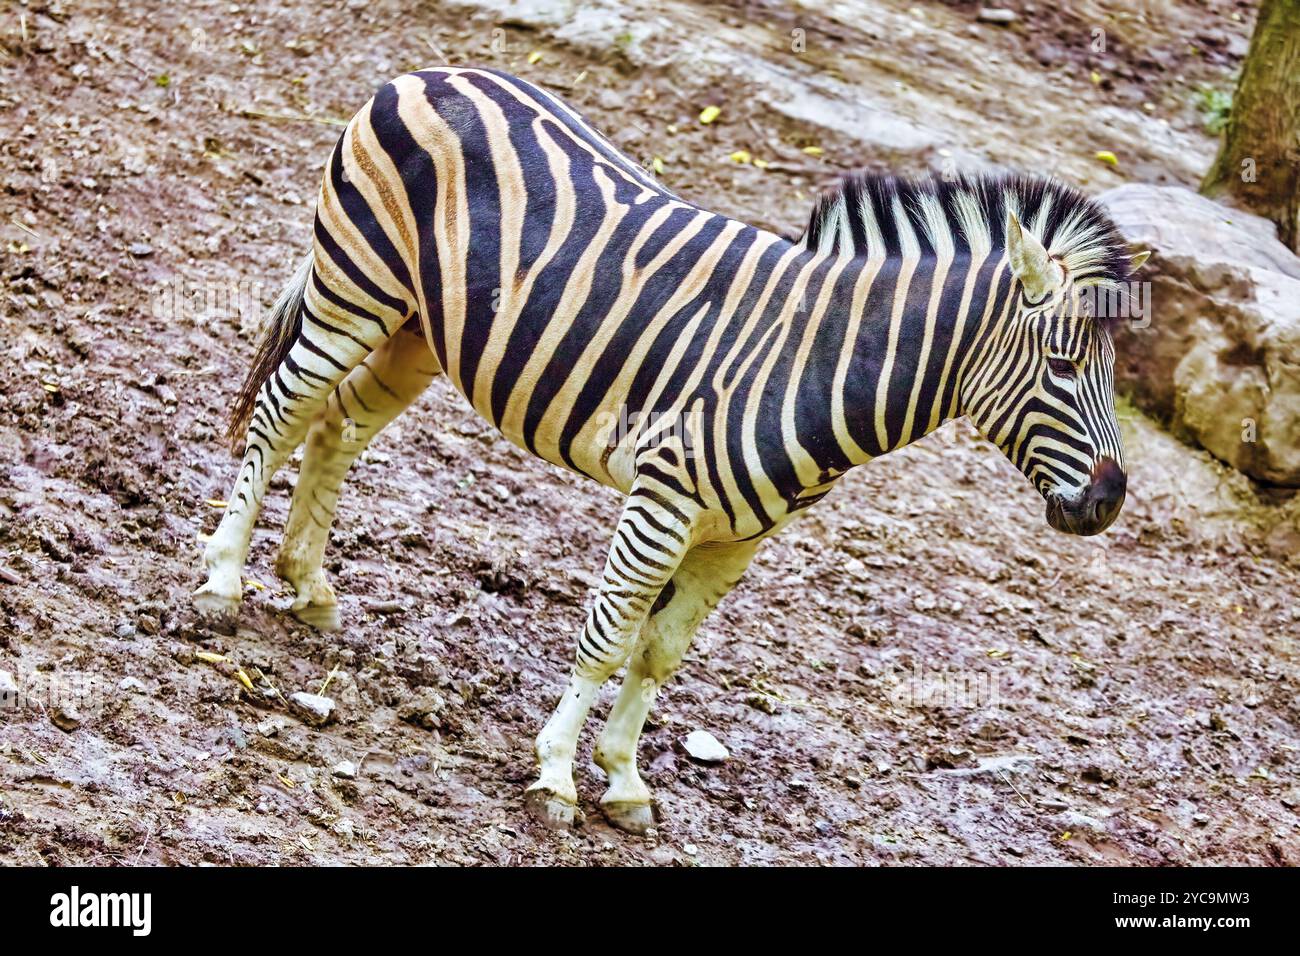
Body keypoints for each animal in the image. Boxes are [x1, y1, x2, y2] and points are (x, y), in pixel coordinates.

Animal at [193, 67, 1149, 833]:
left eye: (1108, 374)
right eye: (1065, 367)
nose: (1106, 503)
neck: (820, 364)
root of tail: (428, 72)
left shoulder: (739, 537)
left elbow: (660, 652)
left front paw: (622, 781)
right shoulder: (664, 499)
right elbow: (608, 636)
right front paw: (554, 776)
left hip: (420, 331)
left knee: (335, 424)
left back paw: (307, 583)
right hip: (356, 285)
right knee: (282, 410)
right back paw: (223, 582)